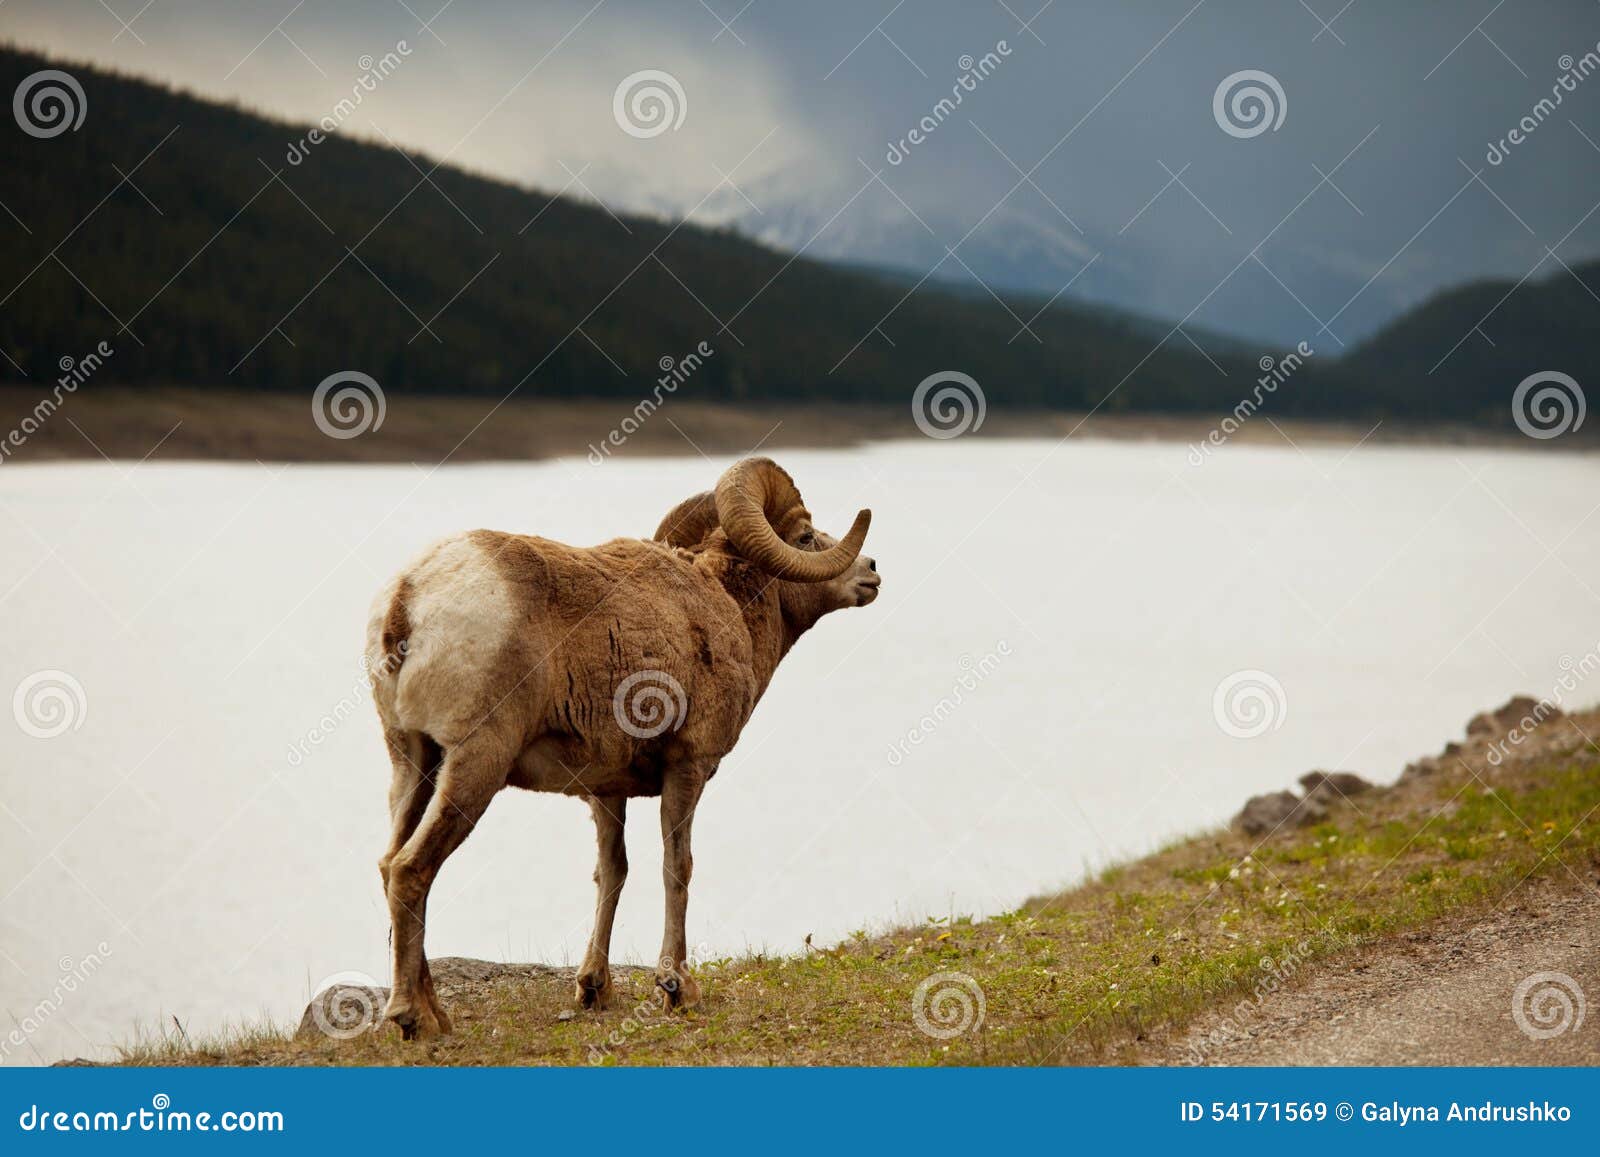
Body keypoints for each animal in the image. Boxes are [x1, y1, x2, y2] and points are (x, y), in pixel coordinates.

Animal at [365, 457, 880, 1038]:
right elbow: (677, 867)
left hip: (413, 764)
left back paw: (437, 1013)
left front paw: (594, 989)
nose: (871, 570)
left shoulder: (605, 791)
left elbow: (612, 872)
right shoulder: (687, 768)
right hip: (475, 766)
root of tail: (407, 600)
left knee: (390, 864)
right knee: (412, 869)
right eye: (807, 537)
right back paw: (412, 1018)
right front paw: (678, 989)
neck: (725, 608)